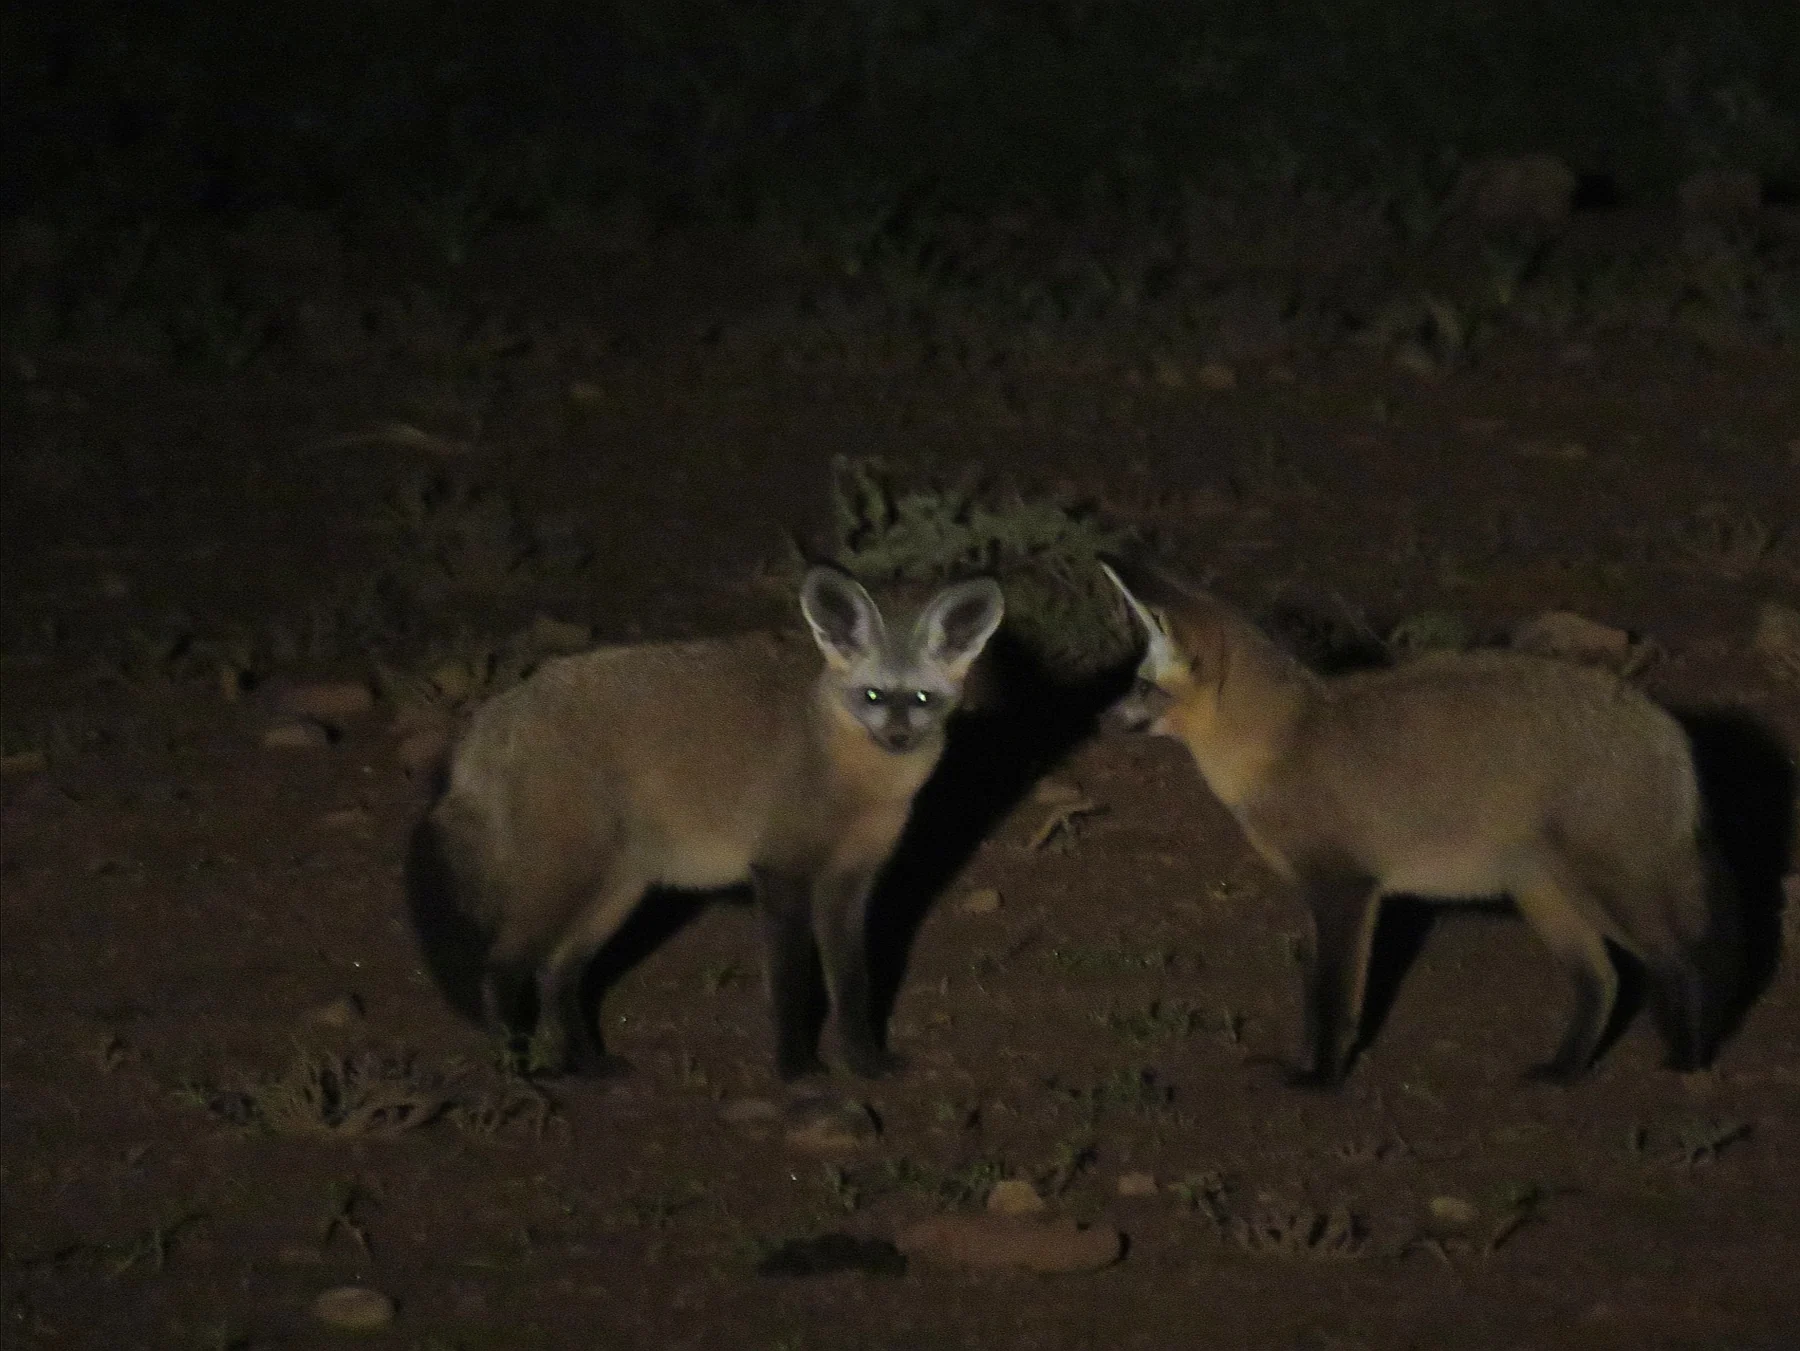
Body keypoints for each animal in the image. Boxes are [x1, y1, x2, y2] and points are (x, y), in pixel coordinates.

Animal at [414, 565, 1005, 1080]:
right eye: (874, 696)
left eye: (922, 699)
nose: (899, 738)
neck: (850, 779)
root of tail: (497, 712)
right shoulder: (781, 871)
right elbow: (790, 981)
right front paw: (796, 1069)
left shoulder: (850, 882)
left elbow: (852, 984)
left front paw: (862, 1063)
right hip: (565, 881)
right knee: (502, 968)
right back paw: (517, 1068)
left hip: (617, 892)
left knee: (557, 976)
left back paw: (588, 1068)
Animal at [1100, 559, 1740, 1086]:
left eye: (1140, 685)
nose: (1102, 719)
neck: (1281, 740)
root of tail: (1665, 726)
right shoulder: (1320, 894)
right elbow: (1315, 996)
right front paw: (1308, 1065)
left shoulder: (1346, 888)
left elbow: (1334, 998)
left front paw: (1320, 1079)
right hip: (1546, 895)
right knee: (1604, 981)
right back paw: (1563, 1072)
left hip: (1607, 892)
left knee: (1681, 964)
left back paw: (1687, 1069)